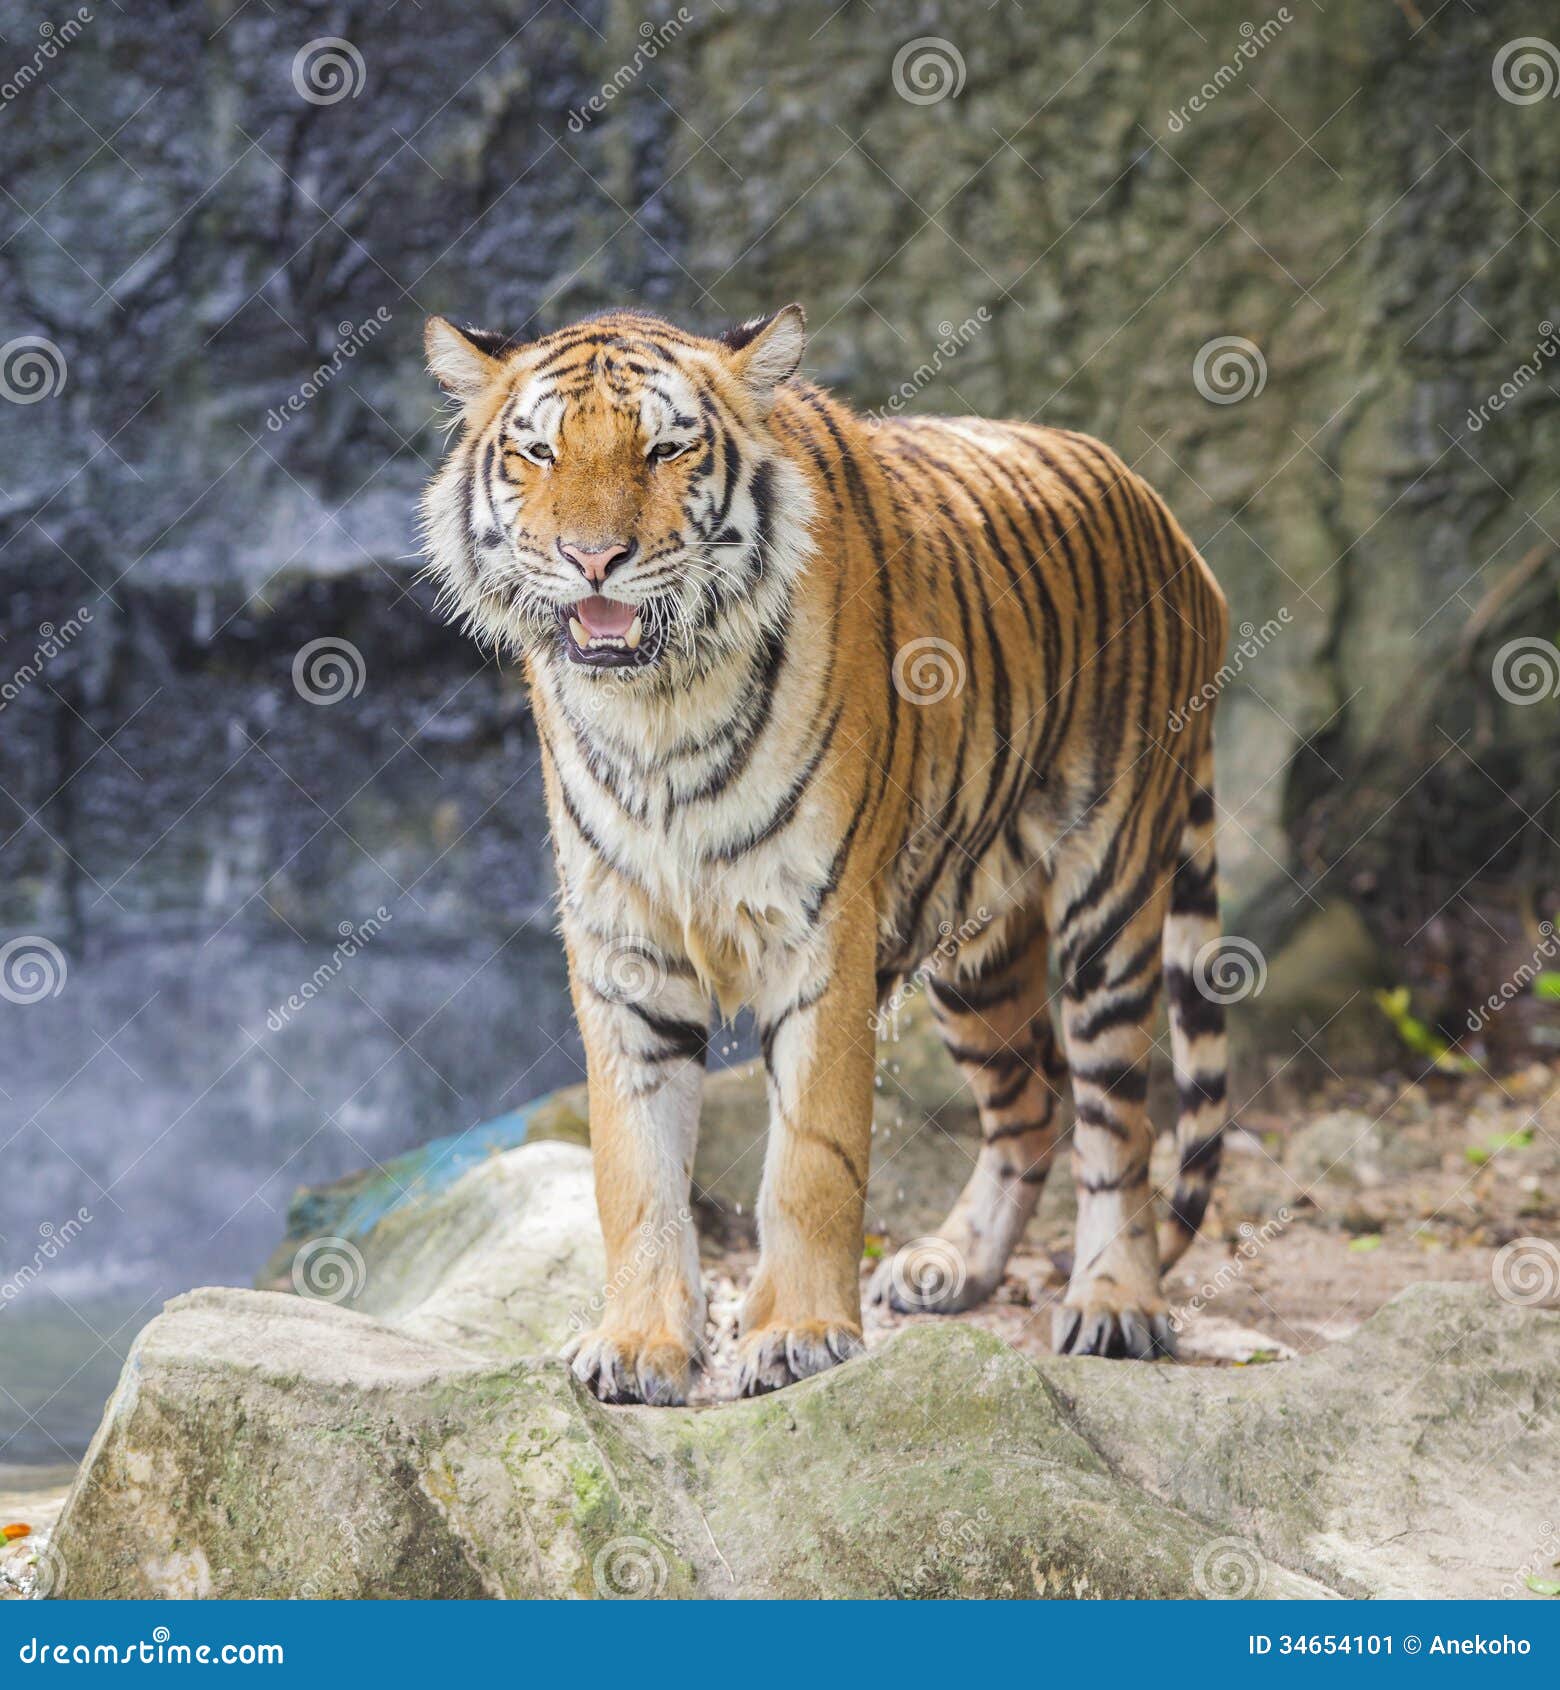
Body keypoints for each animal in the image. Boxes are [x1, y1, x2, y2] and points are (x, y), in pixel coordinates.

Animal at [420, 302, 1230, 1405]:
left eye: (666, 449)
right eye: (538, 451)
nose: (592, 558)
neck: (659, 708)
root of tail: (1172, 525)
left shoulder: (824, 933)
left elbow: (813, 1159)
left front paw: (799, 1336)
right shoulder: (624, 950)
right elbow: (633, 1172)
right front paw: (639, 1346)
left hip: (1110, 897)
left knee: (1116, 1119)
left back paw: (1114, 1302)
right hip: (972, 953)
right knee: (1031, 1104)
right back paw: (953, 1266)